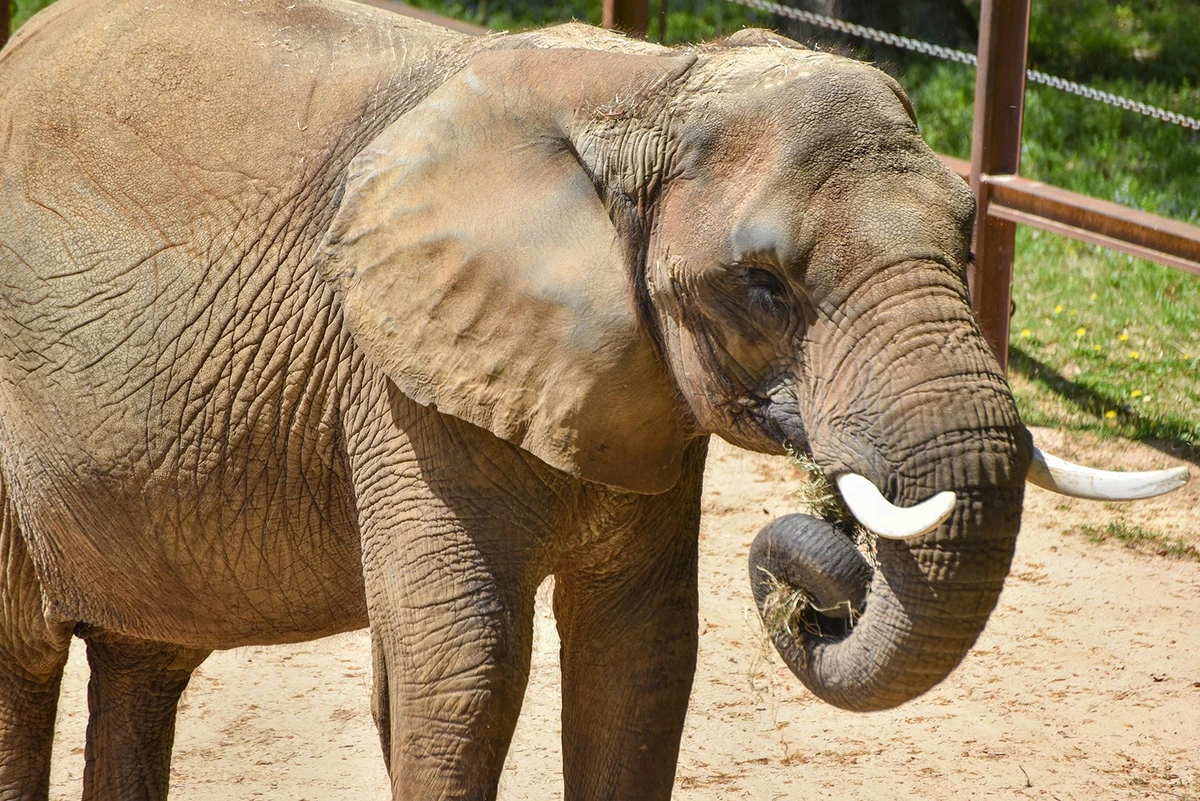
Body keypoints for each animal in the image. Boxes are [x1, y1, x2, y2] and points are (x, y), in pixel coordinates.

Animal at [0, 0, 1188, 799]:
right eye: (764, 282)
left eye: (969, 237)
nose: (821, 577)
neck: (645, 89)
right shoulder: (396, 377)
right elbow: (463, 670)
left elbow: (644, 656)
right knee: (24, 663)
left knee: (142, 659)